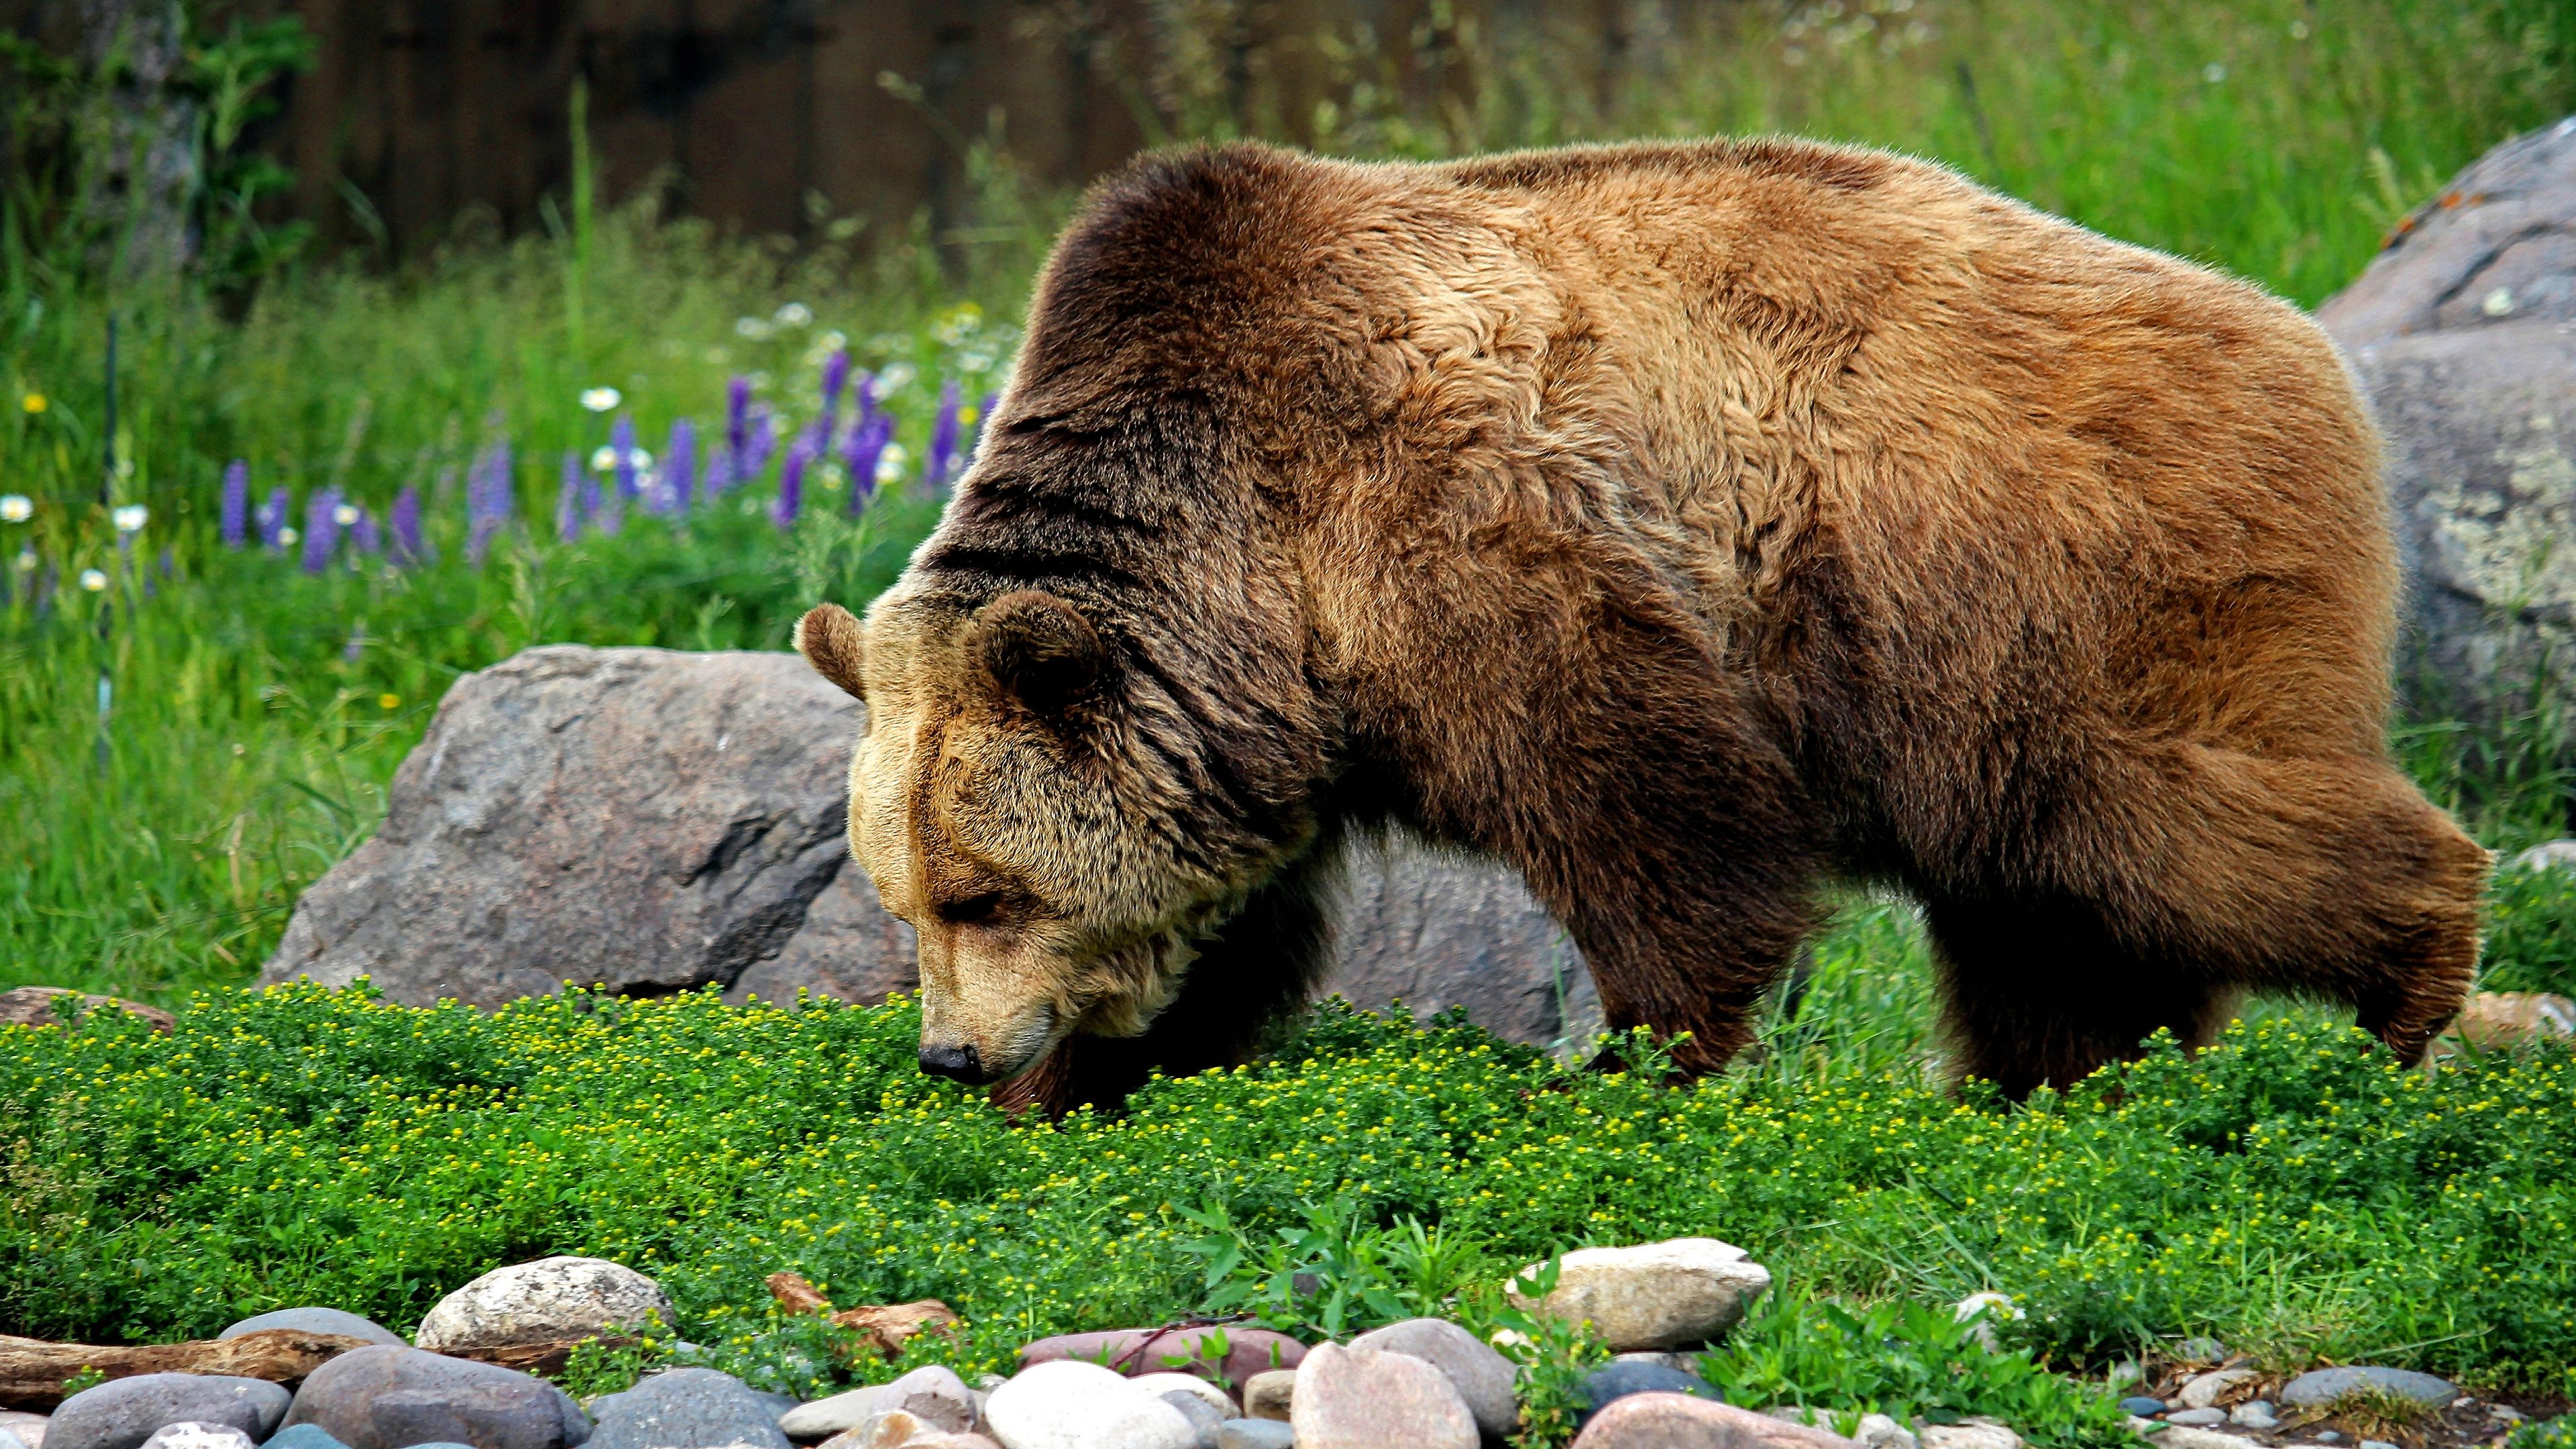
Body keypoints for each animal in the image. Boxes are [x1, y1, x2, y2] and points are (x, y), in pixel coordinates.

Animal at [793, 137, 2490, 1113]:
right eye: (907, 894)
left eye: (983, 890)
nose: (949, 1053)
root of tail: (2301, 341)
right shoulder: (1259, 709)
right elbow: (1229, 912)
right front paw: (1095, 1072)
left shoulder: (1453, 526)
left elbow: (1649, 810)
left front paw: (1632, 1056)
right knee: (2041, 904)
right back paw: (2051, 1086)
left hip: (2037, 581)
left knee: (2156, 818)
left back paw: (2410, 997)